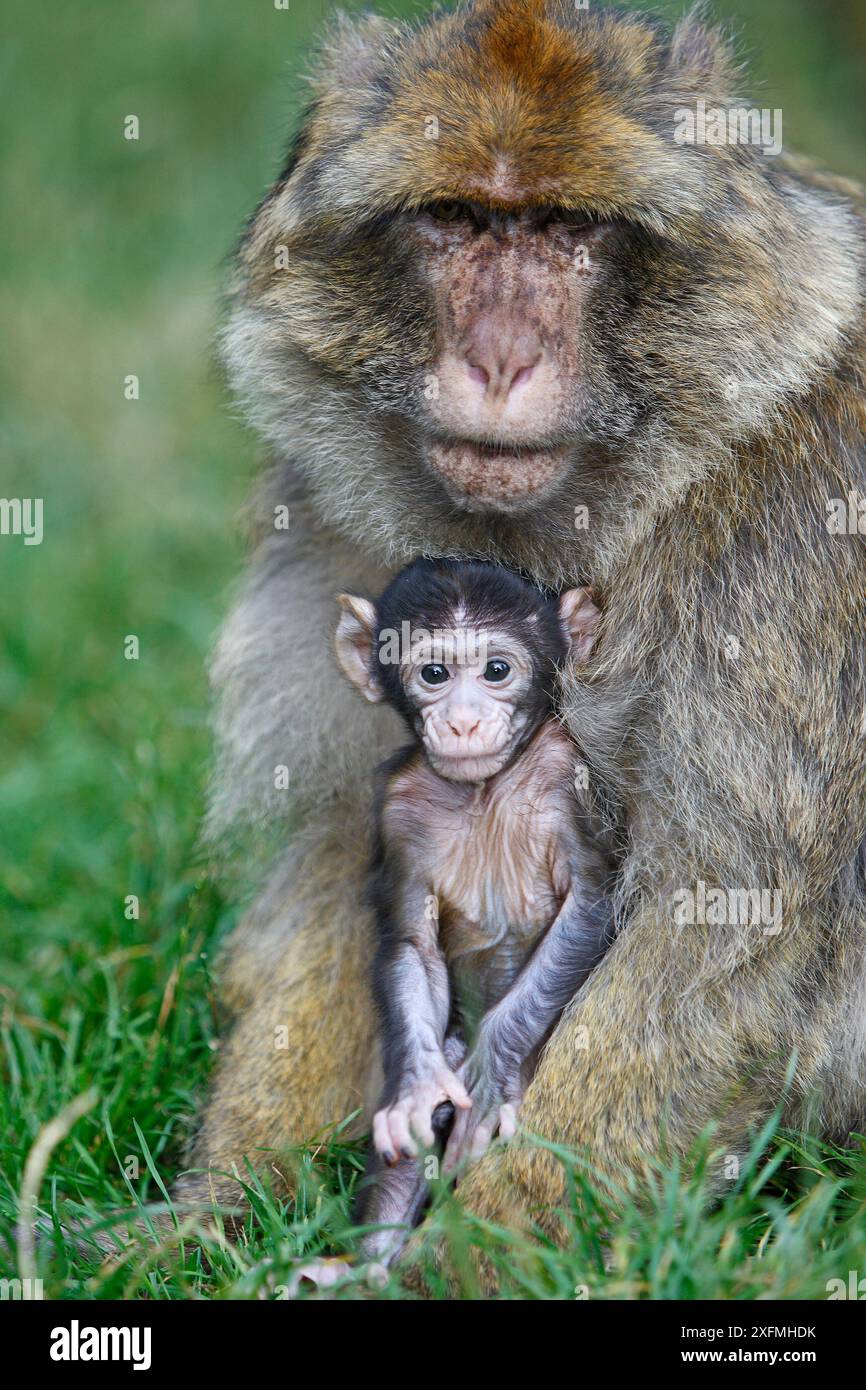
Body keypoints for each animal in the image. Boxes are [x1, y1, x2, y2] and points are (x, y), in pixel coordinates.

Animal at [333, 558, 613, 1263]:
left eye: (496, 670)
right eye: (434, 674)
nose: (461, 722)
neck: (485, 790)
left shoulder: (568, 774)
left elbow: (590, 909)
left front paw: (491, 1076)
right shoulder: (398, 812)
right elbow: (412, 948)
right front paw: (416, 1084)